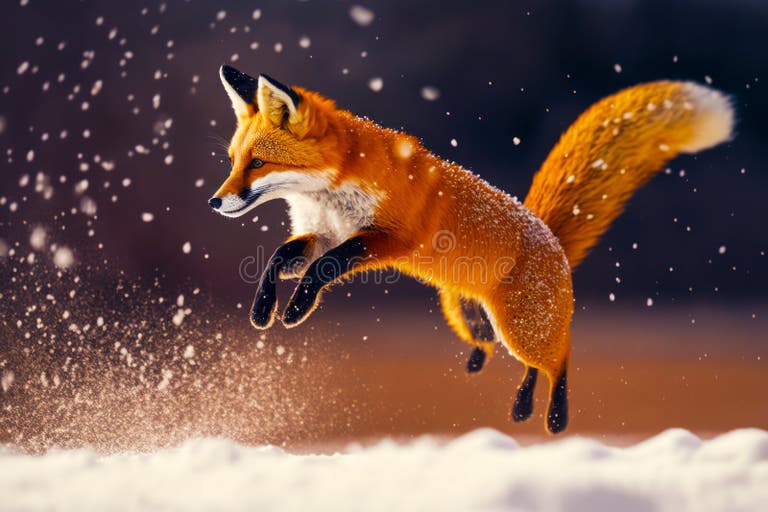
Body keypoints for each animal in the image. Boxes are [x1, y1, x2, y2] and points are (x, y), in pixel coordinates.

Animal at [210, 65, 734, 434]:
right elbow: (279, 260)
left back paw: (555, 418)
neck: (329, 195)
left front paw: (295, 310)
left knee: (560, 356)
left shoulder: (386, 238)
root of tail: (549, 233)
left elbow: (325, 268)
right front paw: (262, 311)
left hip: (524, 327)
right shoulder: (322, 232)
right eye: (234, 161)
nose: (215, 202)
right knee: (512, 356)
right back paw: (517, 402)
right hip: (472, 316)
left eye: (257, 163)